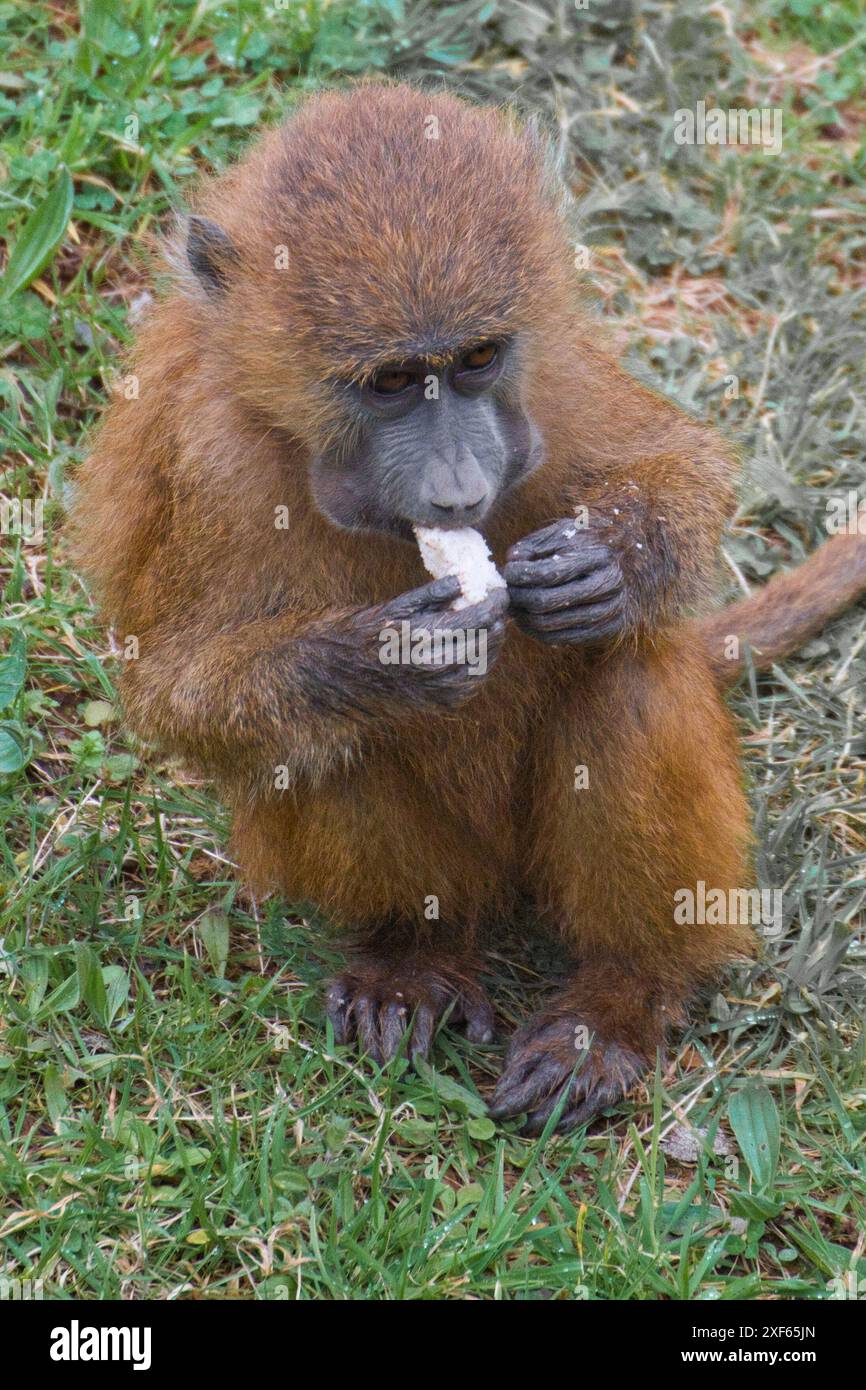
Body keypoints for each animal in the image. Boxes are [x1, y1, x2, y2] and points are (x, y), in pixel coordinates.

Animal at [71, 83, 866, 1134]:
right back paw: (415, 959)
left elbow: (686, 470)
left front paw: (608, 566)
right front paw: (394, 654)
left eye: (479, 357)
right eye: (392, 382)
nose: (457, 490)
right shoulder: (207, 456)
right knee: (331, 743)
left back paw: (618, 999)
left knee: (625, 668)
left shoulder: (551, 374)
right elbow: (172, 689)